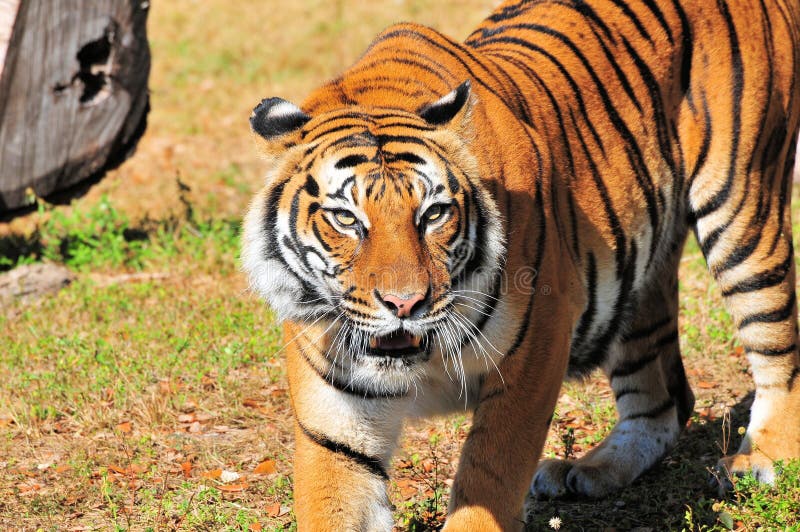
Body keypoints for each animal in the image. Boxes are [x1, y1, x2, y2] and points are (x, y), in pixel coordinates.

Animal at [241, 0, 800, 529]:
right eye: (345, 219)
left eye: (433, 214)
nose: (405, 304)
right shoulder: (335, 422)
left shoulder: (537, 347)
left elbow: (489, 474)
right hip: (636, 272)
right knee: (663, 400)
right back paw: (591, 469)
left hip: (742, 207)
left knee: (776, 348)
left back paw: (759, 461)